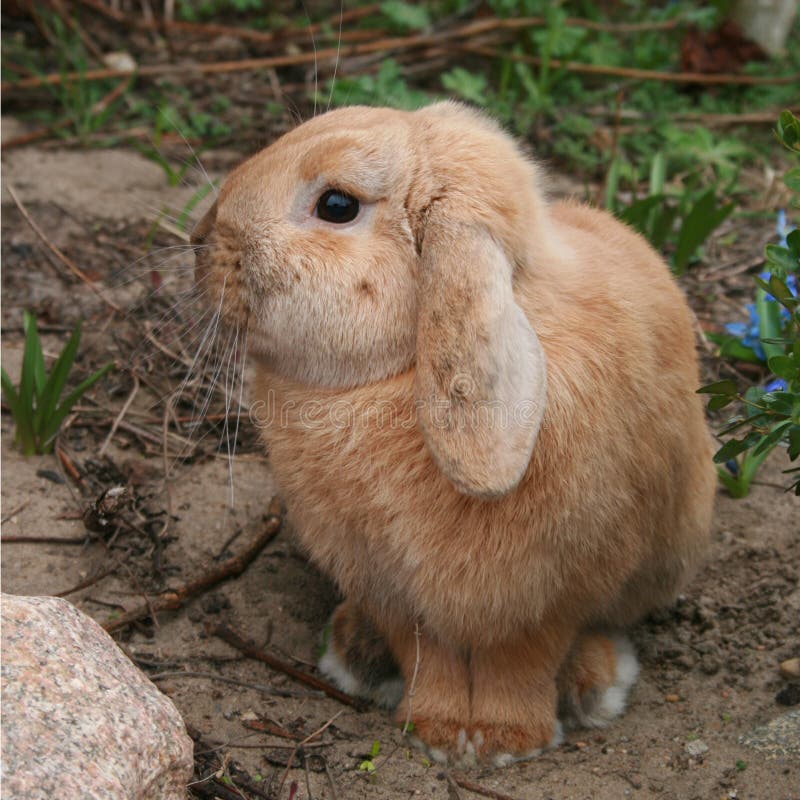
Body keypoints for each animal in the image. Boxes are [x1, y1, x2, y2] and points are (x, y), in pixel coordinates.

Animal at [191, 101, 716, 766]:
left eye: (336, 205)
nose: (201, 238)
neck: (396, 376)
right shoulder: (395, 588)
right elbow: (428, 656)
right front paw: (436, 731)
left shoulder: (549, 595)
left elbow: (523, 661)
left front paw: (503, 742)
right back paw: (358, 650)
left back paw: (591, 682)